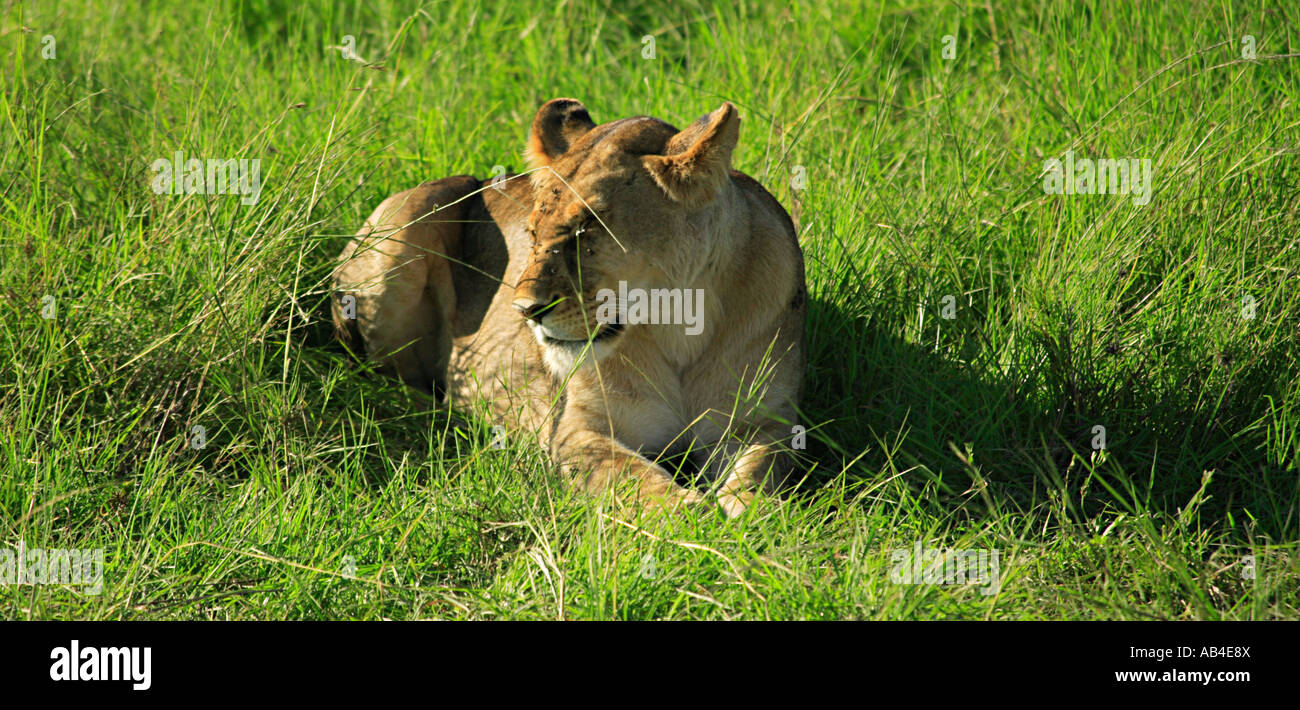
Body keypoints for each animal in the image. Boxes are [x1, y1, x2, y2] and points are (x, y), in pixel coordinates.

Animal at [331, 98, 806, 517]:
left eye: (587, 231)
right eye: (532, 232)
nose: (525, 310)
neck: (678, 328)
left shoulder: (762, 423)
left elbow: (760, 467)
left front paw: (751, 516)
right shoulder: (576, 431)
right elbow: (634, 478)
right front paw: (693, 518)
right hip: (403, 231)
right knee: (385, 376)